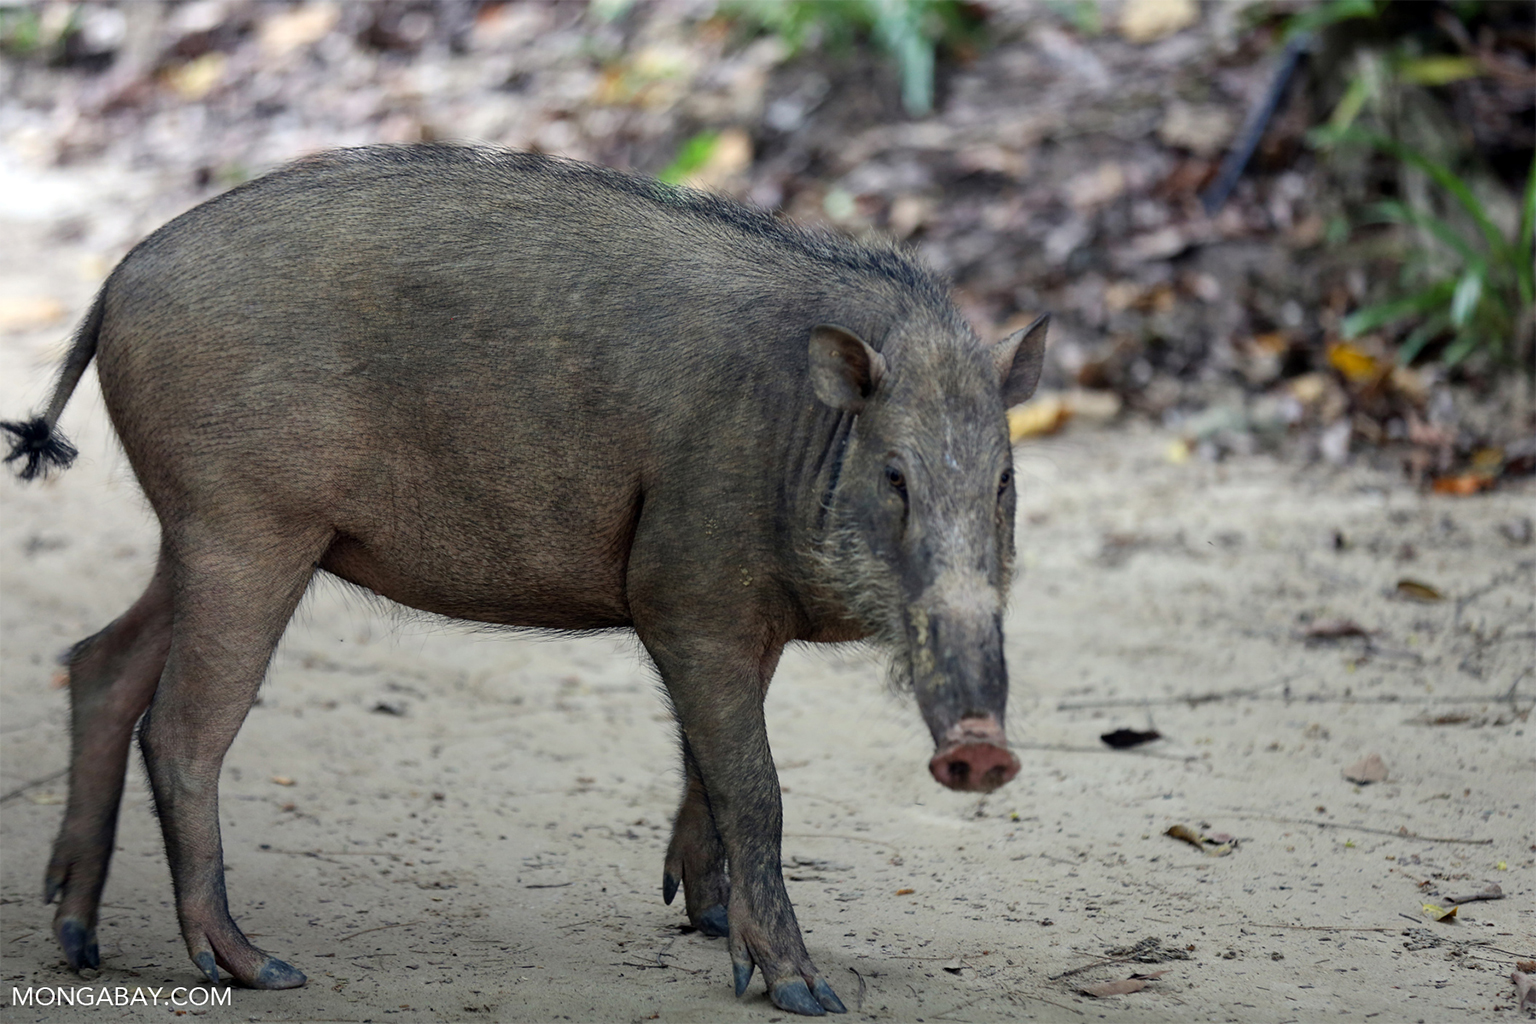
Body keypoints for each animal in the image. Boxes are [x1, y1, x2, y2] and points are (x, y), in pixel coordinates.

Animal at [2, 144, 1047, 1016]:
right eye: (895, 477)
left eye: (1004, 481)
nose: (983, 751)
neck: (805, 430)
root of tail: (114, 284)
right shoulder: (685, 596)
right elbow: (754, 785)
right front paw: (804, 992)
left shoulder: (742, 623)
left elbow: (708, 770)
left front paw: (705, 923)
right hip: (244, 529)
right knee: (178, 729)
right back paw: (257, 968)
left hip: (195, 536)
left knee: (99, 661)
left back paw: (79, 941)